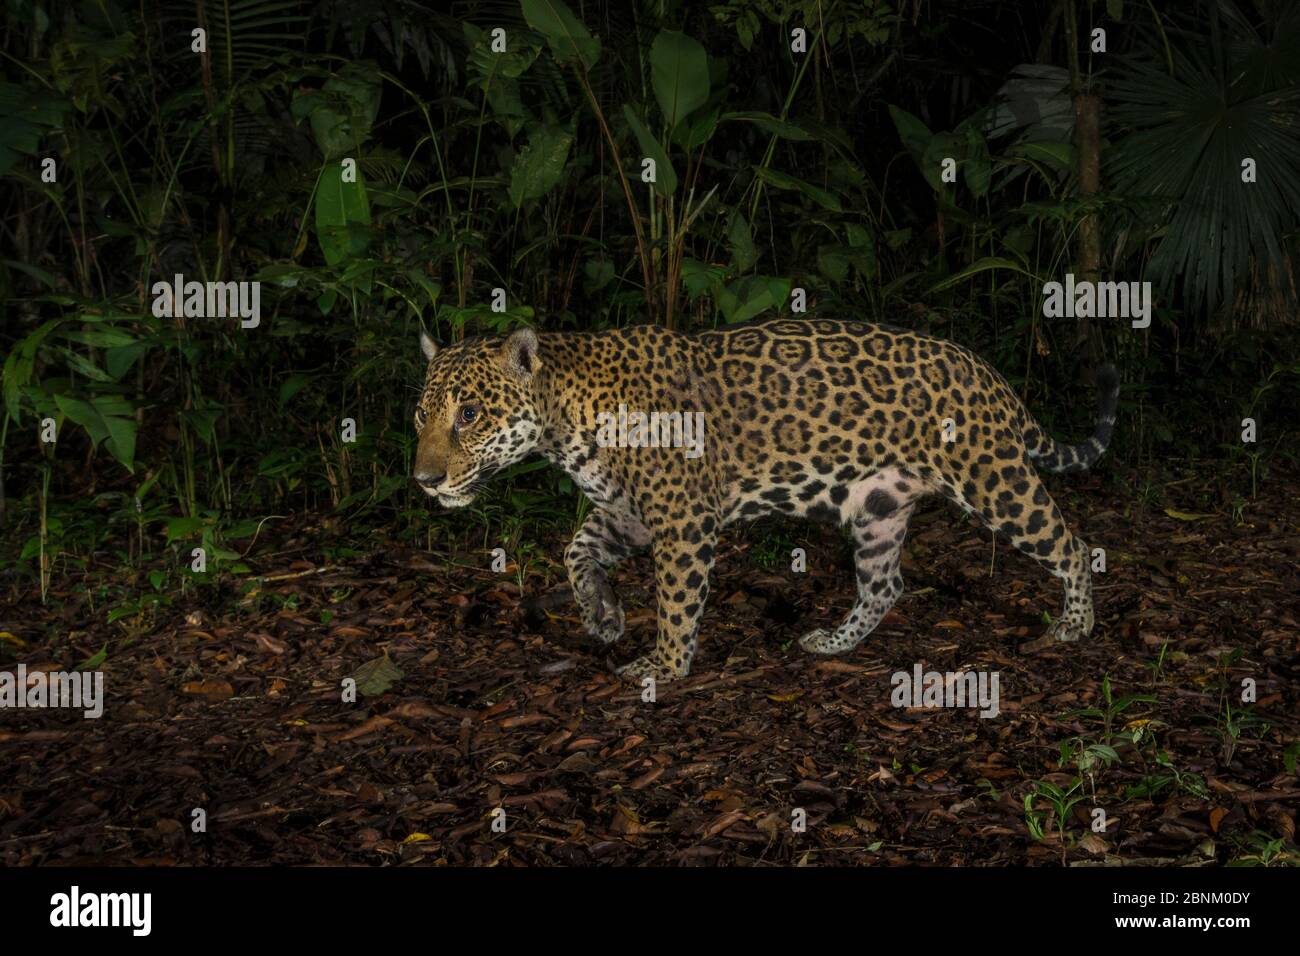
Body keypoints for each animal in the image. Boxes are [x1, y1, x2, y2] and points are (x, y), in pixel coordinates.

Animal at [412, 317, 1119, 683]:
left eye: (469, 414)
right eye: (421, 416)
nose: (422, 479)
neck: (565, 418)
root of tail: (991, 375)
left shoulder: (682, 518)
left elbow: (676, 601)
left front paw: (664, 666)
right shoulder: (630, 515)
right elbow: (575, 550)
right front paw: (602, 617)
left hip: (994, 481)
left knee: (1073, 544)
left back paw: (1076, 625)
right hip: (878, 507)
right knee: (884, 585)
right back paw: (833, 643)